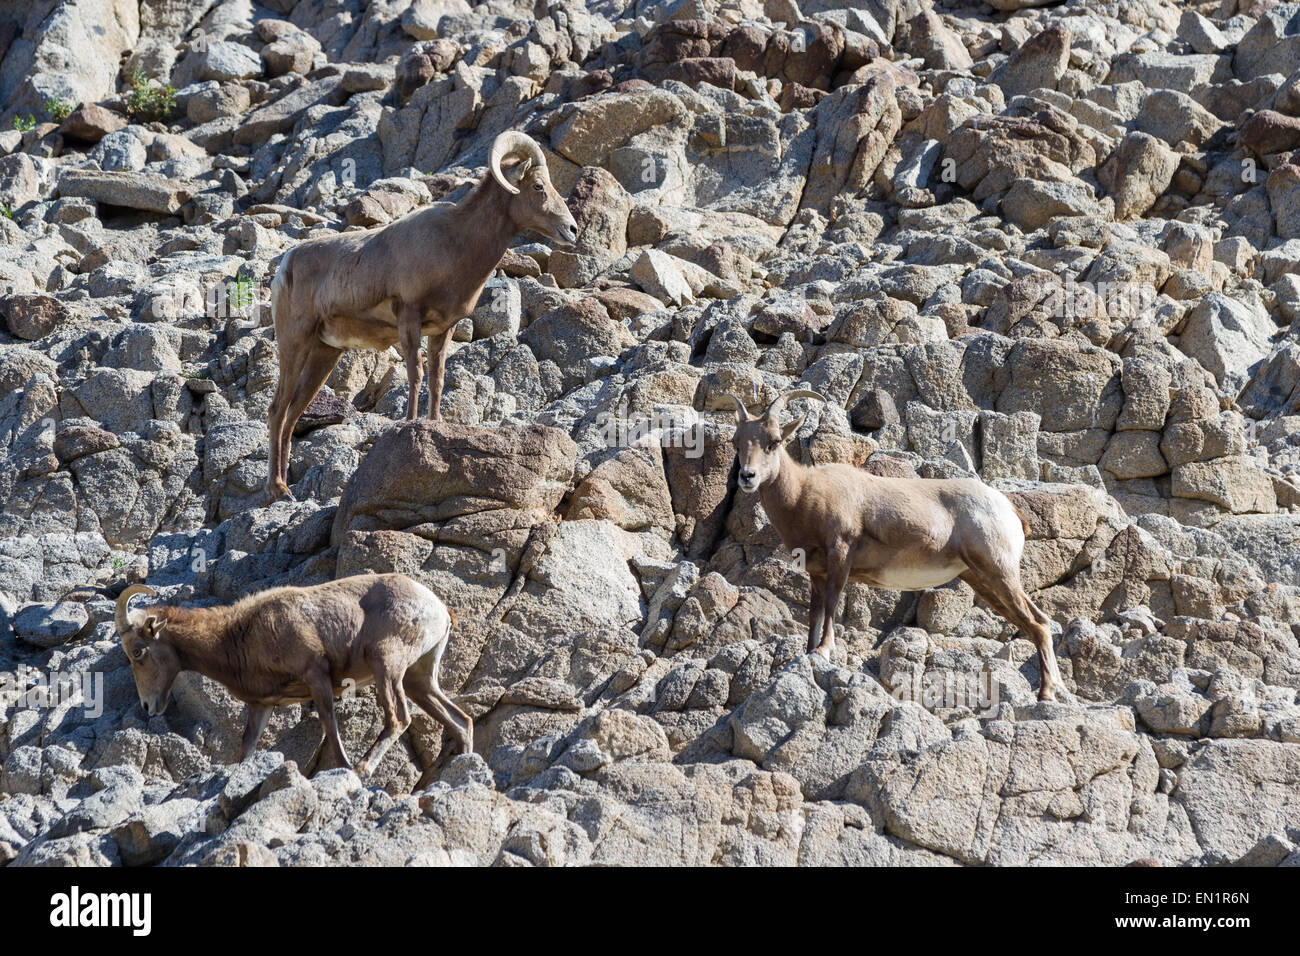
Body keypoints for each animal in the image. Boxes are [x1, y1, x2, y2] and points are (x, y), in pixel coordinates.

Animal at [111, 573, 473, 779]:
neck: (238, 635)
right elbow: (247, 747)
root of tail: (439, 608)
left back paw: (363, 768)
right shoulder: (262, 706)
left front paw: (345, 767)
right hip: (418, 679)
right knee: (460, 720)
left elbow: (329, 724)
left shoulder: (316, 675)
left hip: (388, 665)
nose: (148, 706)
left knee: (398, 718)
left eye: (138, 652)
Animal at [265, 130, 579, 502]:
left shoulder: (443, 329)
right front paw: (410, 425)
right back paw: (277, 488)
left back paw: (286, 490)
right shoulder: (409, 317)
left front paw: (433, 424)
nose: (572, 230)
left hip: (324, 354)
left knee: (293, 414)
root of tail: (286, 266)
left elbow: (437, 378)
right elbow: (415, 373)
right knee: (277, 410)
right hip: (295, 341)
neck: (455, 244)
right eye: (538, 187)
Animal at [723, 389, 1065, 701]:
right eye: (737, 443)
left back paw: (1047, 693)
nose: (747, 476)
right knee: (1034, 623)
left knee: (1039, 623)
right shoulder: (817, 574)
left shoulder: (840, 556)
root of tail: (1009, 509)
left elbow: (832, 605)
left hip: (1000, 572)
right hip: (984, 581)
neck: (804, 496)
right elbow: (815, 614)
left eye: (773, 441)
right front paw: (810, 652)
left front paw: (823, 651)